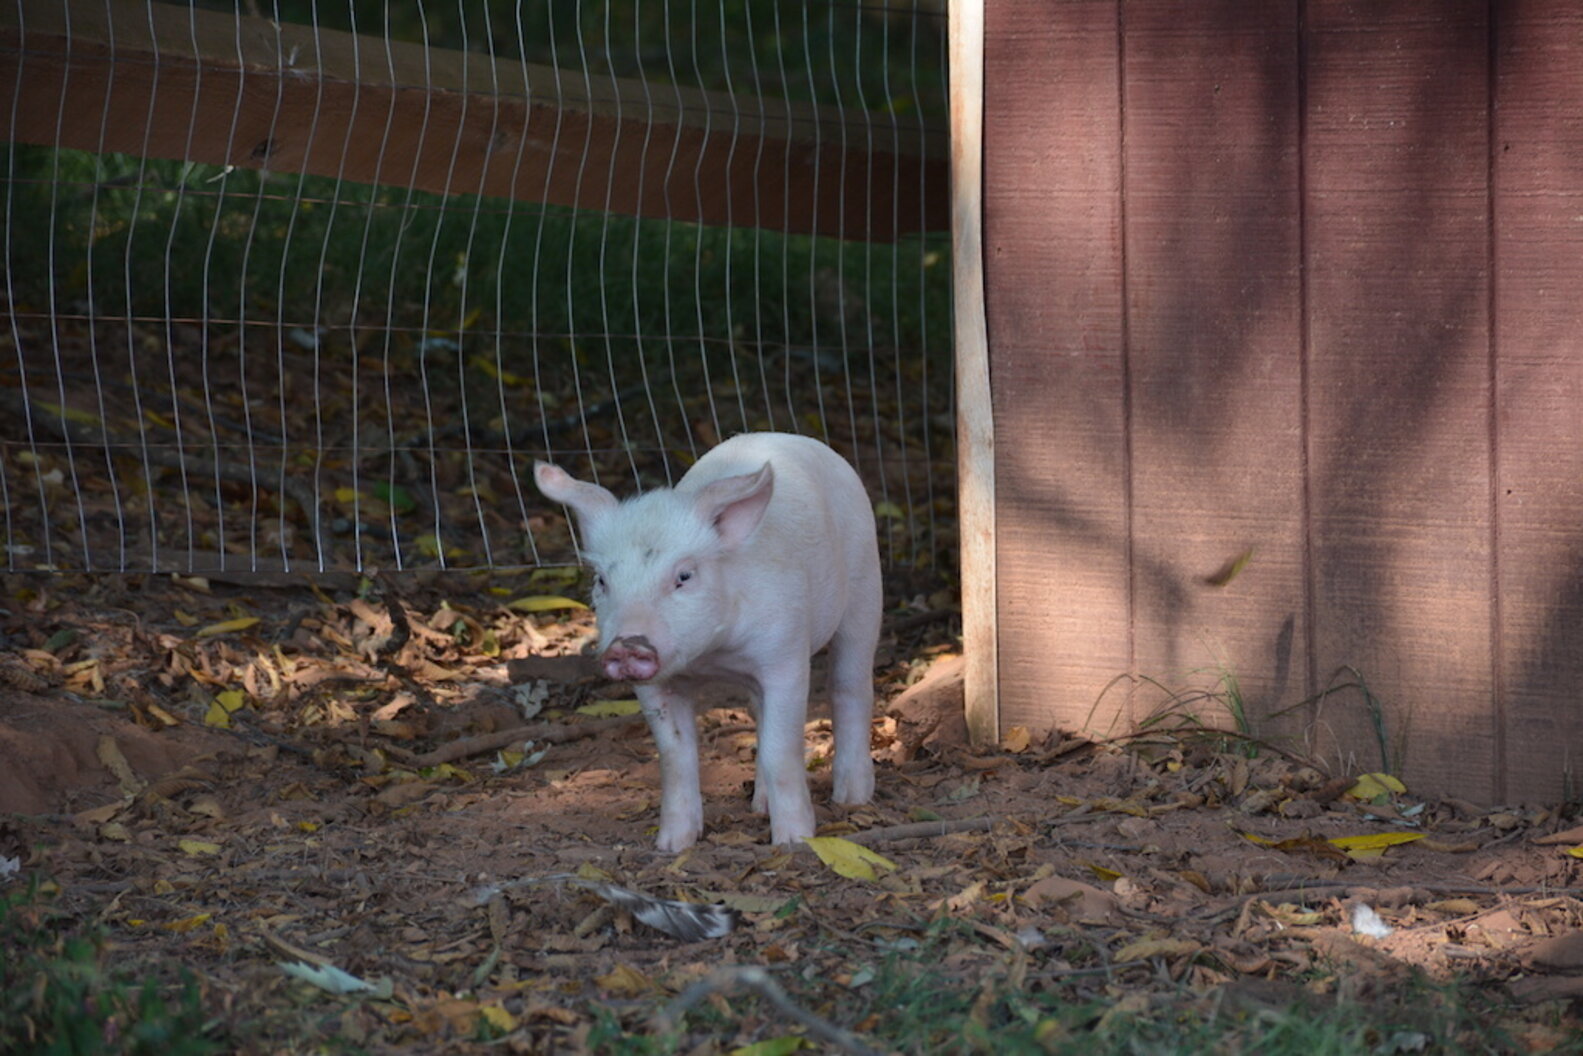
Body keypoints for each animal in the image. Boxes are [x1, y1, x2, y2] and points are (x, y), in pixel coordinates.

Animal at [533, 432, 881, 851]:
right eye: (602, 580)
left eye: (684, 576)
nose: (628, 644)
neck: (715, 656)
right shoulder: (655, 686)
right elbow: (674, 755)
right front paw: (671, 847)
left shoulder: (786, 657)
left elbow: (781, 750)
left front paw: (793, 843)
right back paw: (760, 806)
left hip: (865, 586)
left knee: (850, 686)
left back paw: (852, 799)